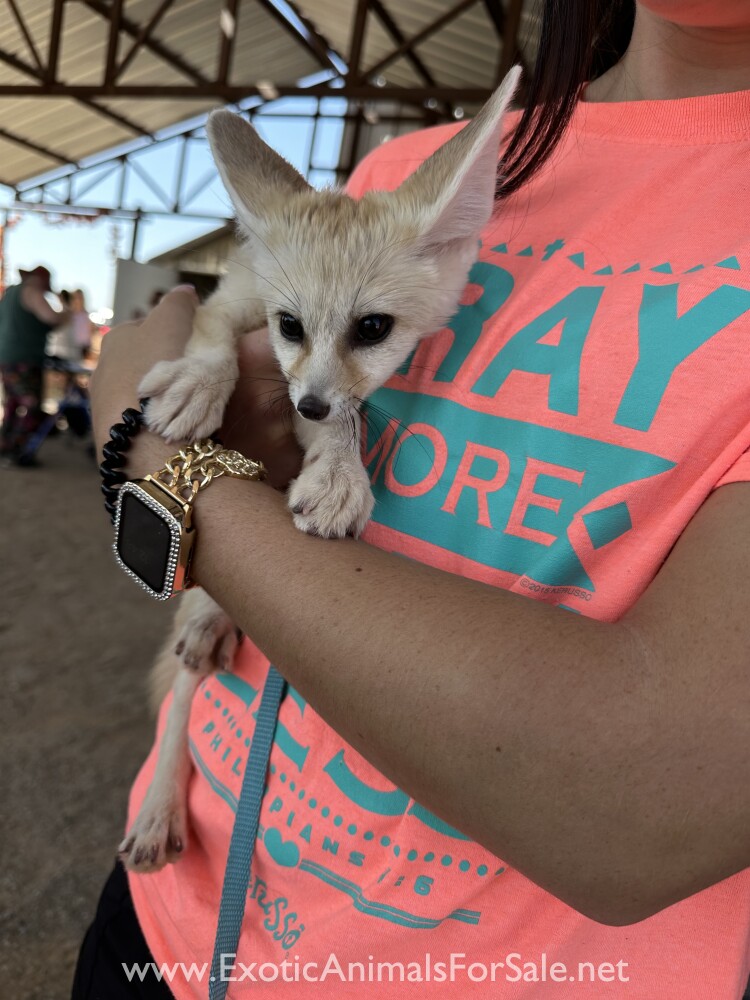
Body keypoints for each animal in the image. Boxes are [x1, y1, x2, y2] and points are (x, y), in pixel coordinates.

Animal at [118, 66, 521, 873]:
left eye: (373, 328)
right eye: (290, 325)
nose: (304, 403)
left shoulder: (328, 394)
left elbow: (347, 419)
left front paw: (337, 472)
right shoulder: (234, 301)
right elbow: (212, 342)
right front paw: (199, 383)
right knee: (182, 691)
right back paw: (157, 807)